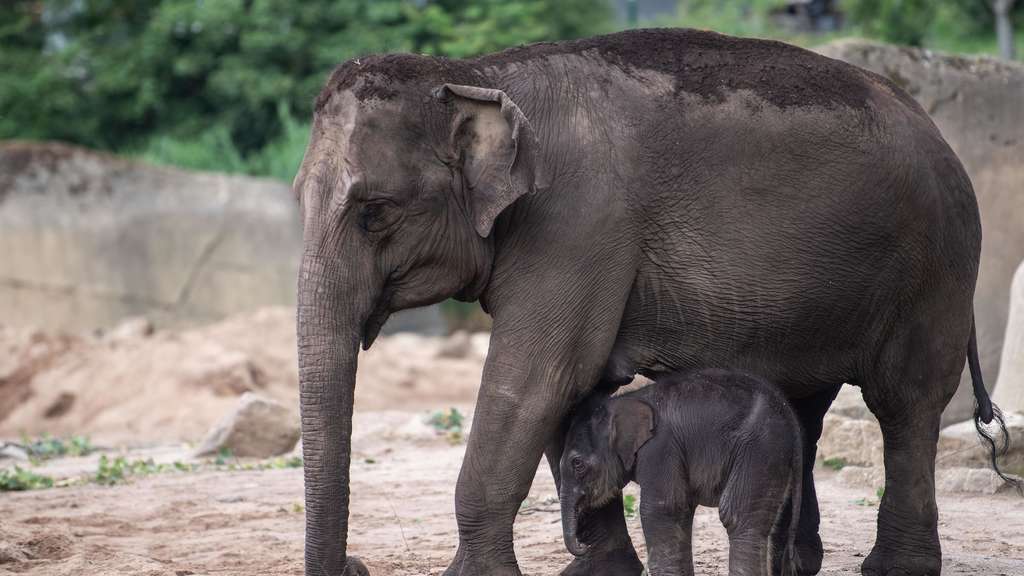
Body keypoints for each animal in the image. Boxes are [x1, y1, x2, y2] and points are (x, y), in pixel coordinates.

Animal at [565, 366, 802, 573]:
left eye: (577, 464)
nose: (582, 546)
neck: (627, 400)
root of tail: (791, 418)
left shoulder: (659, 449)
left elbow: (662, 508)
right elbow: (682, 510)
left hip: (759, 449)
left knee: (736, 516)